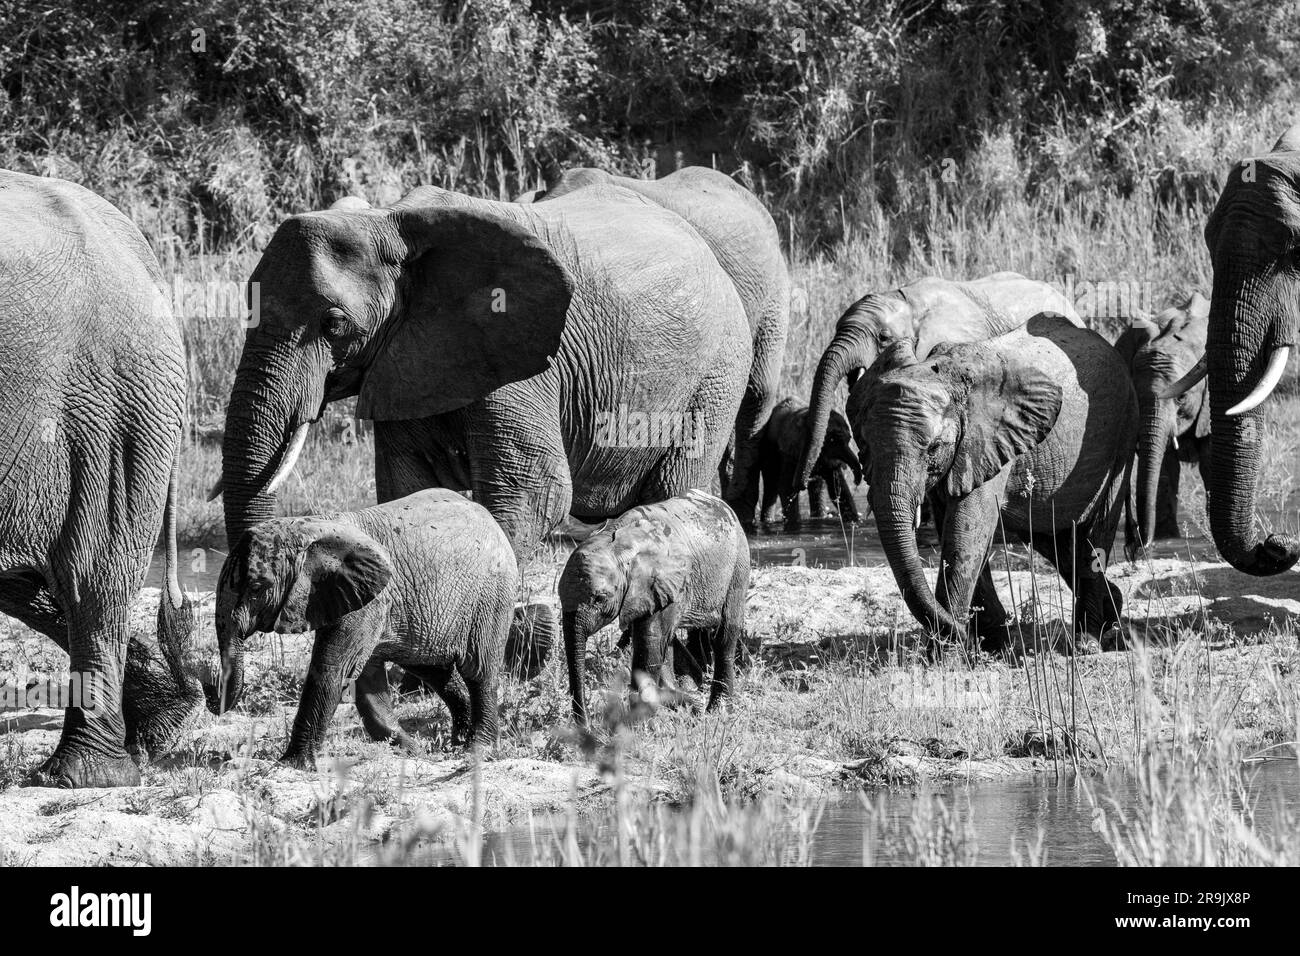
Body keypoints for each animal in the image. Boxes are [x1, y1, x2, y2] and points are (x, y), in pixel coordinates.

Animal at [213, 489, 518, 765]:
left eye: (256, 589)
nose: (212, 702)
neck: (310, 526)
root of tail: (488, 517)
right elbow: (365, 680)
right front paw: (413, 751)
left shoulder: (369, 601)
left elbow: (333, 668)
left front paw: (291, 764)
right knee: (434, 669)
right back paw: (457, 742)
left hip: (492, 595)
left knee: (478, 669)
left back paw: (478, 748)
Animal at [217, 181, 751, 580]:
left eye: (333, 325)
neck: (389, 220)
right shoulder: (409, 354)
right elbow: (410, 485)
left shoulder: (523, 357)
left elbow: (534, 488)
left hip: (720, 367)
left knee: (673, 486)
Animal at [558, 490, 749, 725]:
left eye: (599, 598)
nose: (586, 727)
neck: (617, 544)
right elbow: (654, 643)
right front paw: (677, 705)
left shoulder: (661, 582)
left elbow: (649, 644)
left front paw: (638, 725)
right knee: (670, 639)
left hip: (738, 564)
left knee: (724, 635)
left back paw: (717, 711)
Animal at [759, 396, 861, 530]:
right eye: (831, 441)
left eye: (848, 440)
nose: (857, 481)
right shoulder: (789, 451)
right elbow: (786, 487)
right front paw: (794, 526)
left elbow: (838, 488)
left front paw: (854, 522)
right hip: (768, 447)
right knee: (771, 483)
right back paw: (768, 521)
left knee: (818, 486)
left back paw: (819, 517)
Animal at [851, 314, 1136, 652]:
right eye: (865, 444)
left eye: (934, 447)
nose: (961, 637)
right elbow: (957, 529)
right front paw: (992, 645)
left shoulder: (987, 440)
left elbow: (966, 530)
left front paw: (946, 654)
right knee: (1059, 541)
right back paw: (1111, 617)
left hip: (1123, 432)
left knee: (1093, 535)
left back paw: (1087, 642)